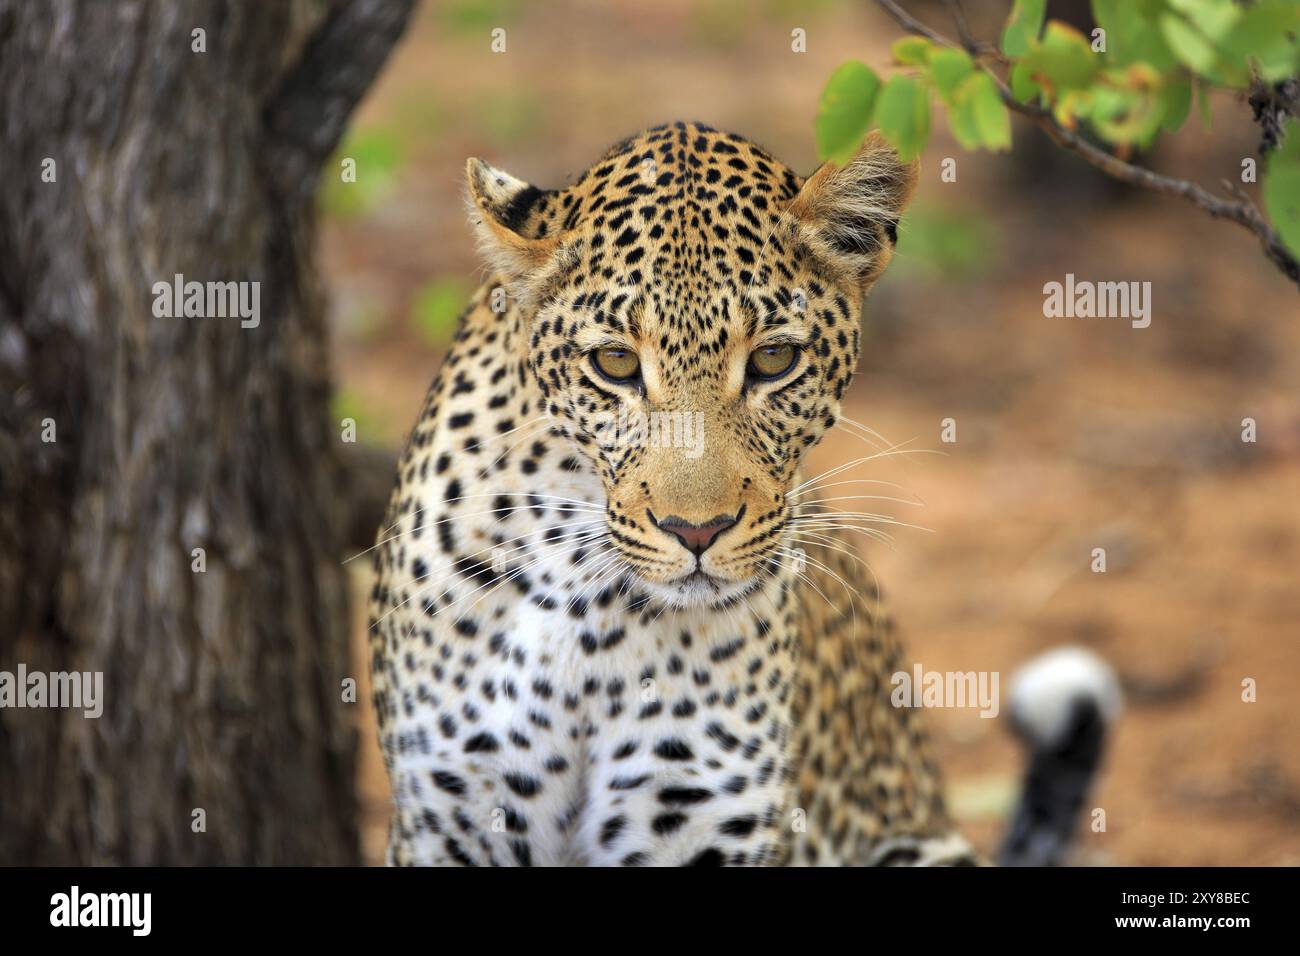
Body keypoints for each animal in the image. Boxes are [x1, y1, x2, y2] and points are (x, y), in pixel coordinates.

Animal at [368, 121, 1117, 866]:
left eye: (774, 360)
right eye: (615, 363)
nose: (696, 531)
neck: (586, 614)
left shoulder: (699, 816)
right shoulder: (449, 816)